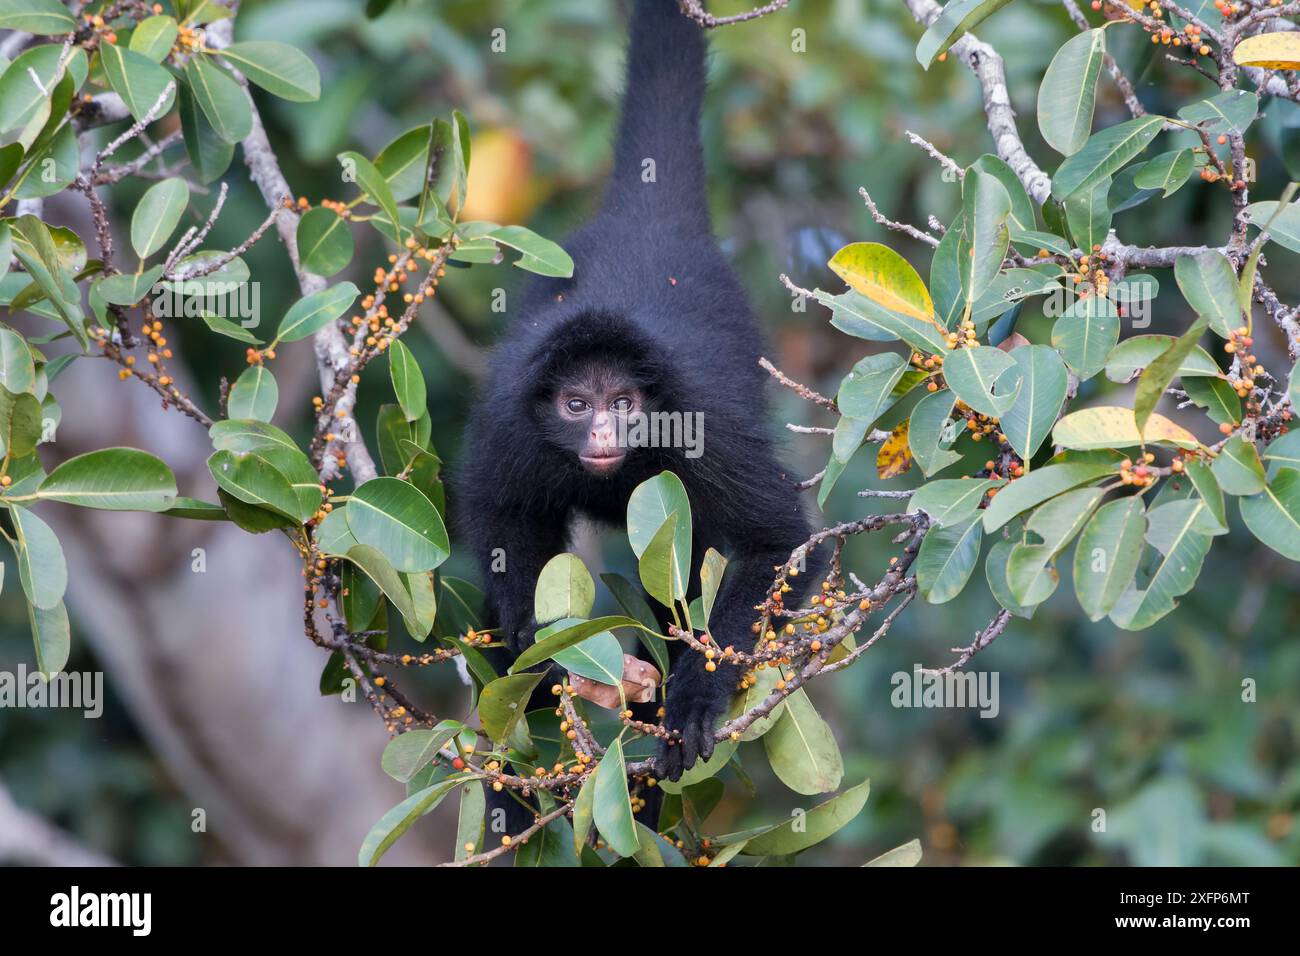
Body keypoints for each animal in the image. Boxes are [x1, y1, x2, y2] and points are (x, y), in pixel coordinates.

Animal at [455, 0, 813, 786]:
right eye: (576, 405)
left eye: (623, 404)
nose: (600, 436)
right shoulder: (511, 419)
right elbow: (501, 520)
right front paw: (533, 643)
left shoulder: (701, 424)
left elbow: (779, 541)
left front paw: (695, 700)